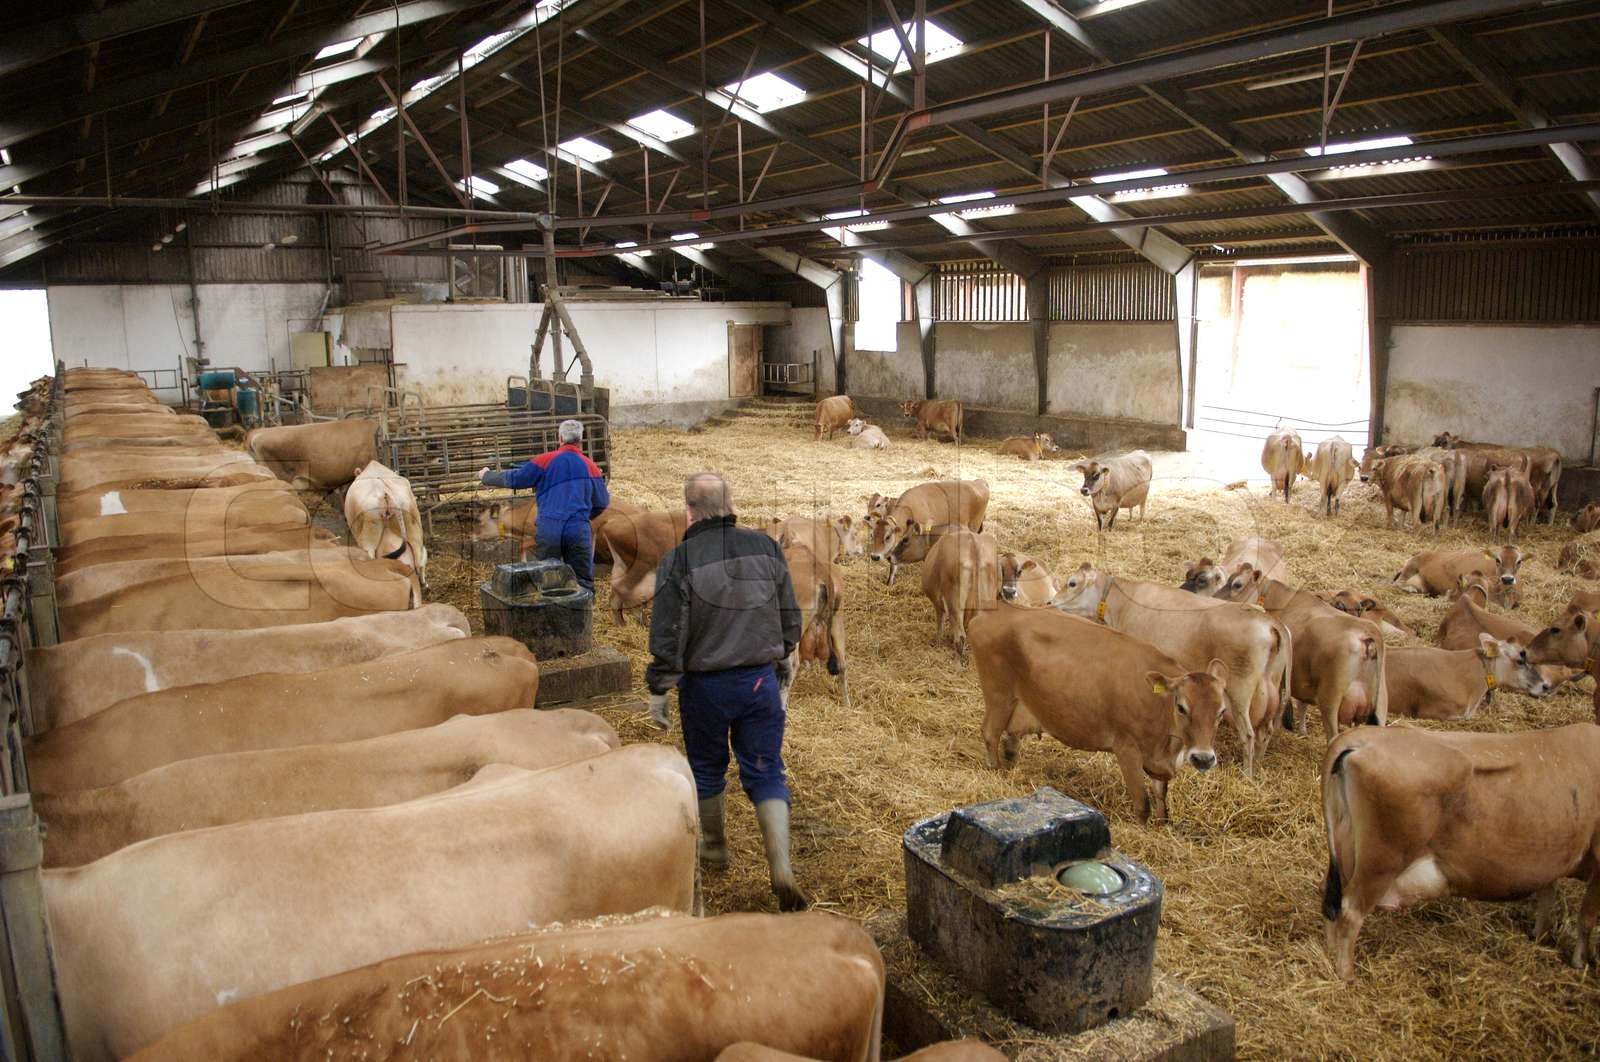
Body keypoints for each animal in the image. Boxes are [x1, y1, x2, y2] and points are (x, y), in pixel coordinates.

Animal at [344, 459, 427, 593]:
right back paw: (424, 585)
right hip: (414, 529)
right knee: (419, 560)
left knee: (370, 557)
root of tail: (384, 492)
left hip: (368, 536)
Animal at [969, 604, 1229, 822]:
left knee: (1010, 740)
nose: (1203, 758)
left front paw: (1162, 826)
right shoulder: (1127, 749)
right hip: (999, 695)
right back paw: (996, 770)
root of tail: (997, 610)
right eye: (1181, 707)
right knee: (990, 732)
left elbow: (1161, 799)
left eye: (1221, 711)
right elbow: (1142, 804)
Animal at [1054, 564, 1291, 776]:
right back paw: (1258, 767)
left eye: (1072, 583)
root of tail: (1269, 620)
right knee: (1266, 731)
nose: (1051, 602)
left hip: (1240, 690)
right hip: (1271, 684)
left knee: (1249, 734)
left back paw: (1247, 775)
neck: (1121, 603)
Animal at [1320, 723, 1600, 979]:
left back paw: (1330, 957)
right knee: (1350, 913)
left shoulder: (1553, 858)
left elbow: (1548, 894)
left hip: (1347, 854)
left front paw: (1539, 935)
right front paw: (1580, 961)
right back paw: (1346, 975)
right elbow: (1586, 917)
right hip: (1381, 864)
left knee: (1334, 906)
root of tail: (1362, 738)